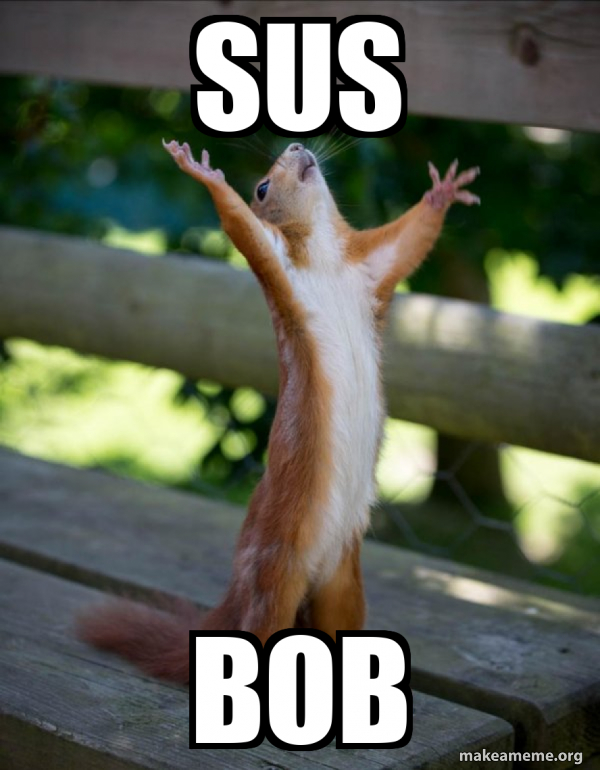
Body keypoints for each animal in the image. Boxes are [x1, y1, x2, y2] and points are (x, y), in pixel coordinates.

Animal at [77, 139, 480, 684]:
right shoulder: (278, 265)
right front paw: (204, 173)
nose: (295, 144)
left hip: (344, 588)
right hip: (274, 577)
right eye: (262, 187)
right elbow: (241, 227)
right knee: (264, 627)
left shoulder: (372, 266)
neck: (327, 259)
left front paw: (442, 192)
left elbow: (410, 240)